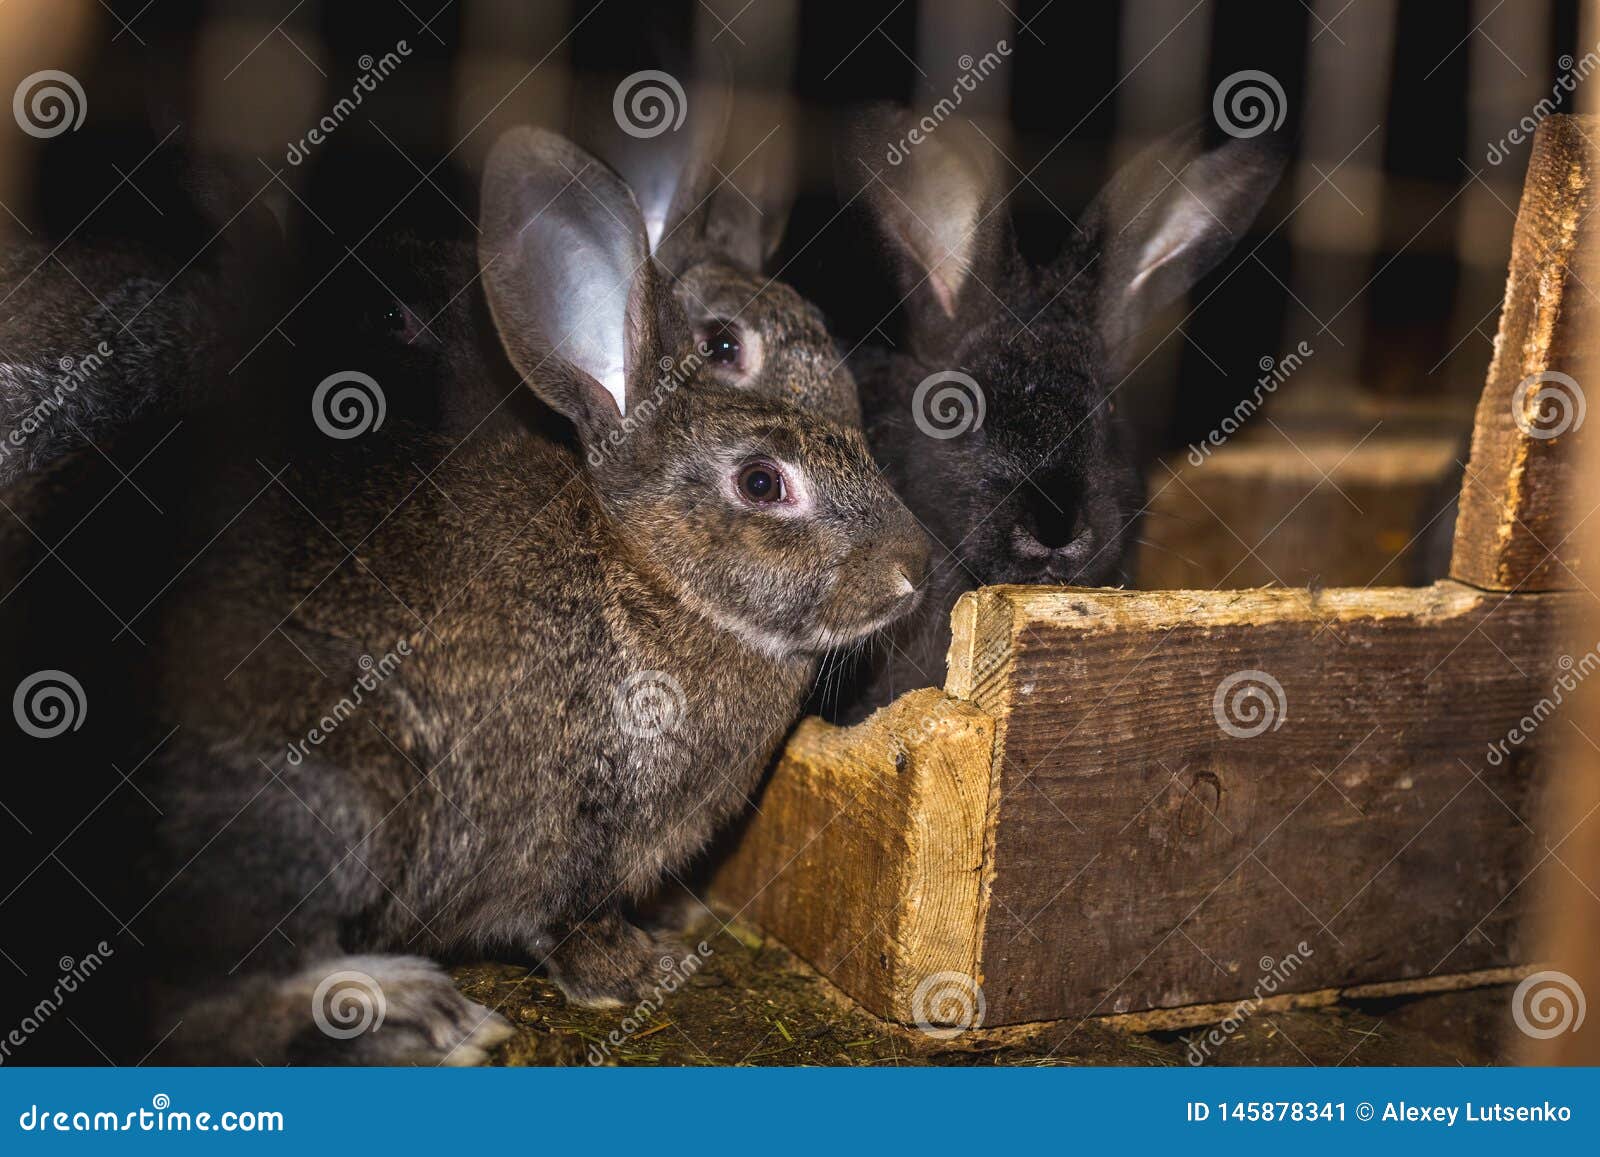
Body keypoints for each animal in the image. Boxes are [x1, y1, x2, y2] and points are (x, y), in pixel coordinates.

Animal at [0, 127, 928, 1065]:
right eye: (763, 482)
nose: (914, 567)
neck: (653, 576)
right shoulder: (577, 836)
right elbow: (570, 919)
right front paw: (640, 970)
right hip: (353, 793)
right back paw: (422, 1015)